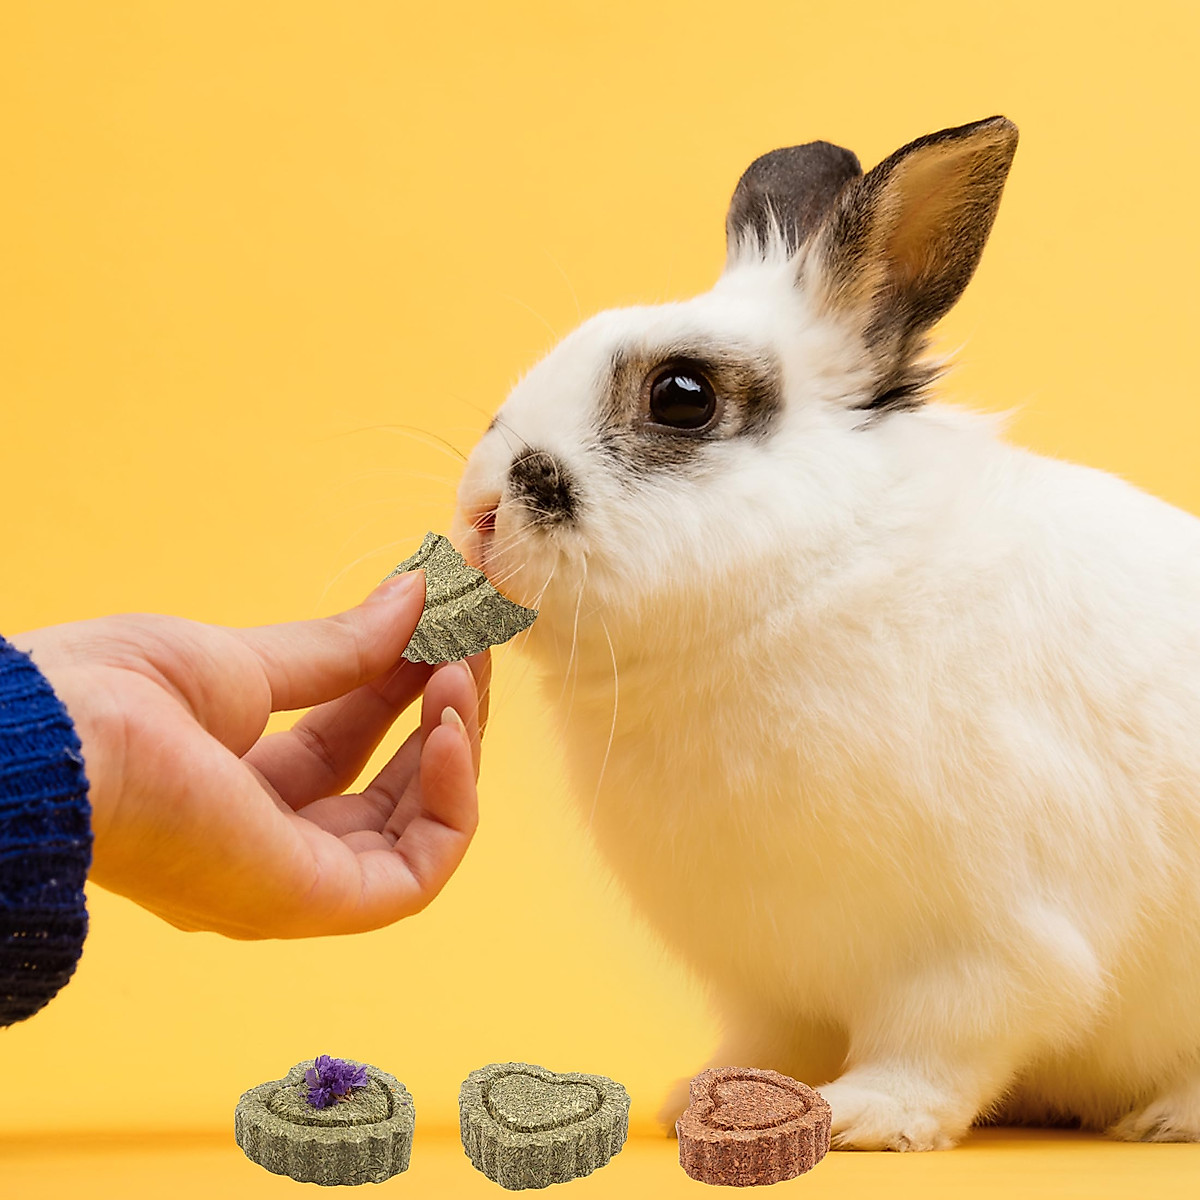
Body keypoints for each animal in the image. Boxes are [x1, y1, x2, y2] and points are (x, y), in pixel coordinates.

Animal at [446, 115, 1200, 1151]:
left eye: (681, 396)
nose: (479, 515)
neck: (812, 579)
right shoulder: (765, 980)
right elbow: (767, 1045)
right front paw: (703, 1099)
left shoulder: (986, 949)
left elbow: (944, 1042)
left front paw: (869, 1118)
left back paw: (1166, 1117)